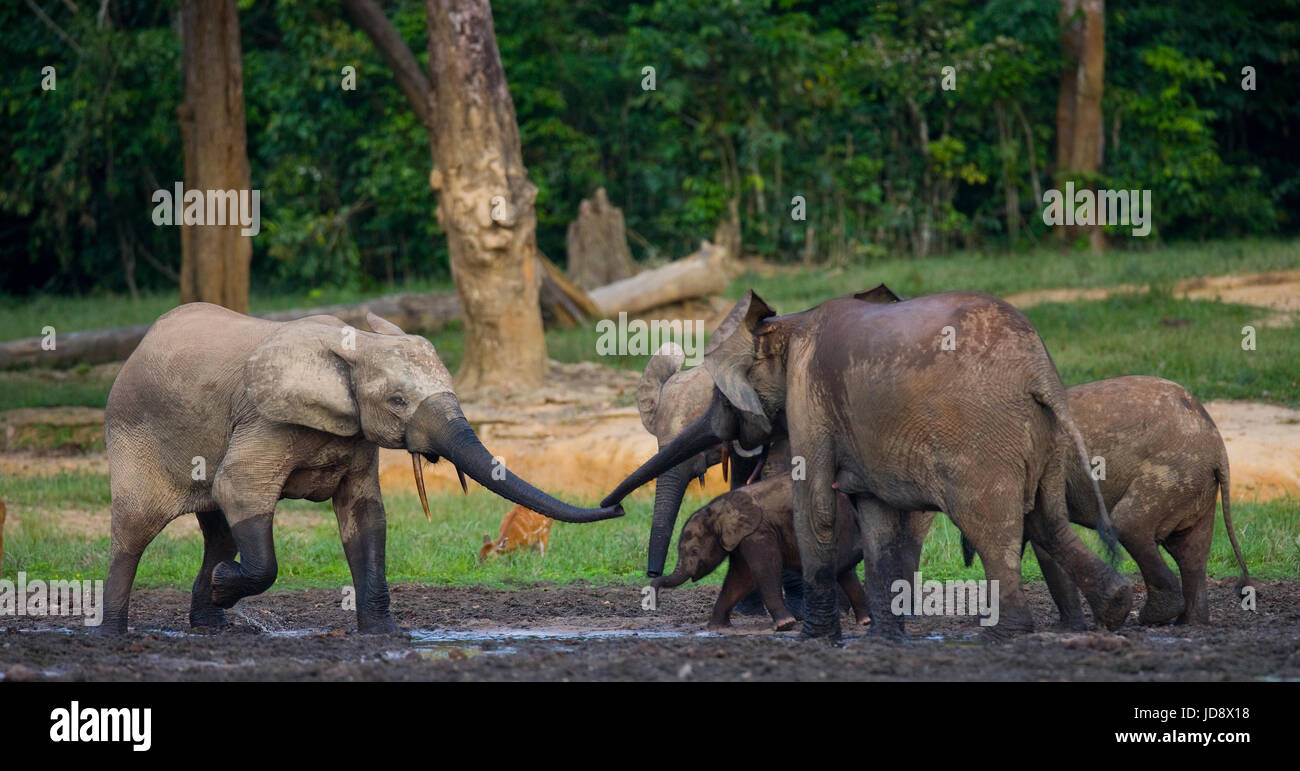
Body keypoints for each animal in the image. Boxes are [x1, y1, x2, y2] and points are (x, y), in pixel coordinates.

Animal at [101, 303, 622, 635]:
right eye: (396, 401)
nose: (615, 506)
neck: (355, 346)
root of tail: (141, 343)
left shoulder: (355, 437)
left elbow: (366, 515)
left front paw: (387, 634)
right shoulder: (265, 419)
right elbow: (241, 490)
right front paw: (226, 583)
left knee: (219, 531)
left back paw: (211, 622)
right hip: (132, 433)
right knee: (136, 529)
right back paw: (113, 634)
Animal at [653, 472, 890, 631]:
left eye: (694, 550)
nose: (653, 596)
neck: (719, 507)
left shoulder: (758, 531)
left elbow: (764, 570)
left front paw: (785, 625)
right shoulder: (742, 539)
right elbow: (741, 578)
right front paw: (716, 628)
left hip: (839, 527)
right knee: (846, 573)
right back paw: (865, 621)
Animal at [963, 376, 1254, 627]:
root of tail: (1218, 448)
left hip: (1173, 471)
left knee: (1128, 524)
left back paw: (1155, 616)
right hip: (1194, 481)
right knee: (1191, 550)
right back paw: (1189, 623)